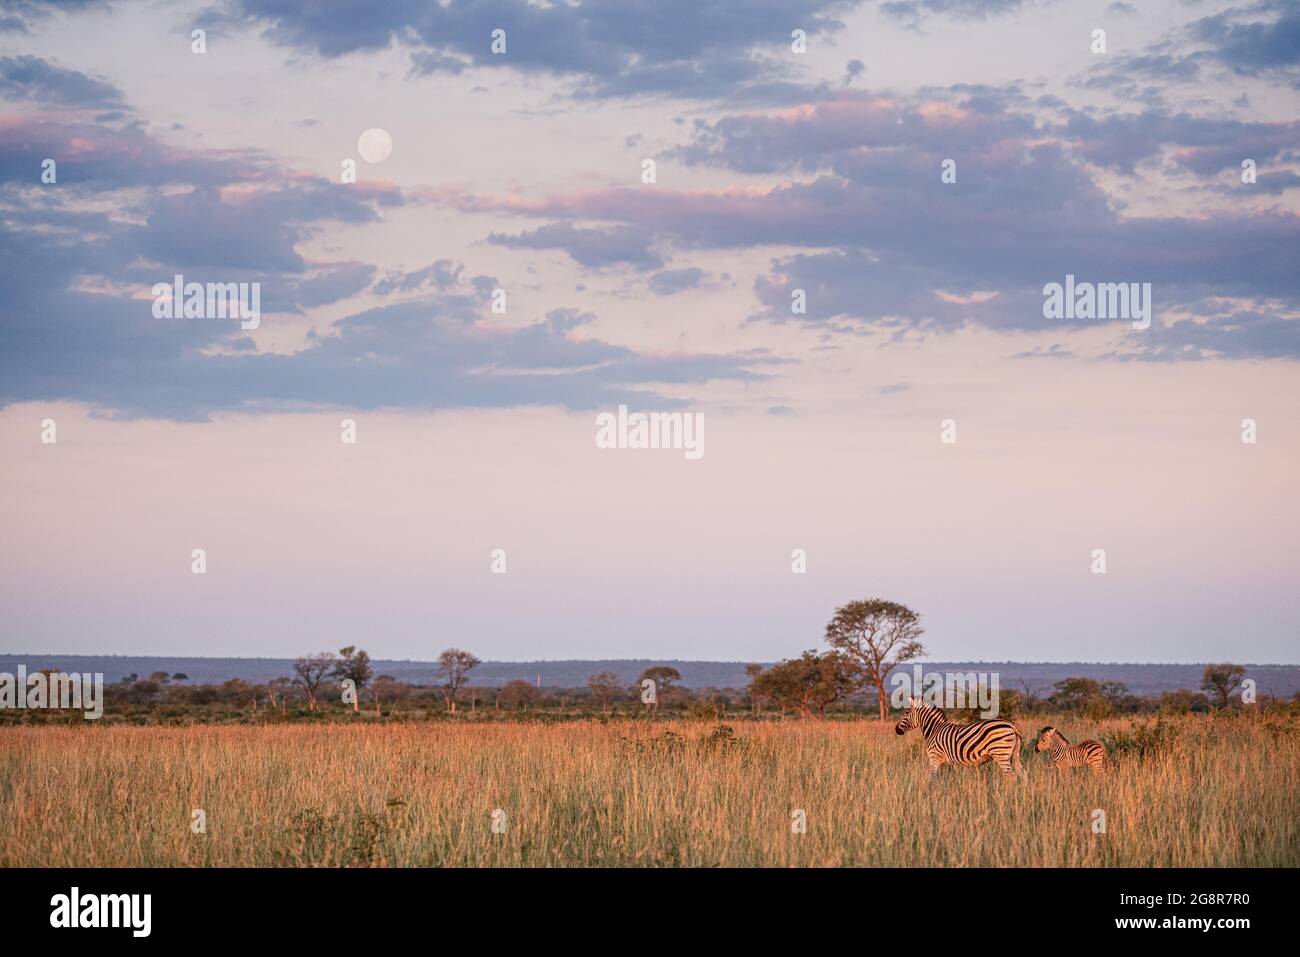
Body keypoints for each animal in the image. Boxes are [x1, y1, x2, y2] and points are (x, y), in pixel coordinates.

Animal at [894, 696, 1025, 780]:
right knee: (1022, 774)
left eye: (906, 712)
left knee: (1010, 777)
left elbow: (932, 779)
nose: (896, 729)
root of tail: (1011, 725)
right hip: (1013, 754)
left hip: (1001, 754)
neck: (934, 729)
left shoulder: (934, 758)